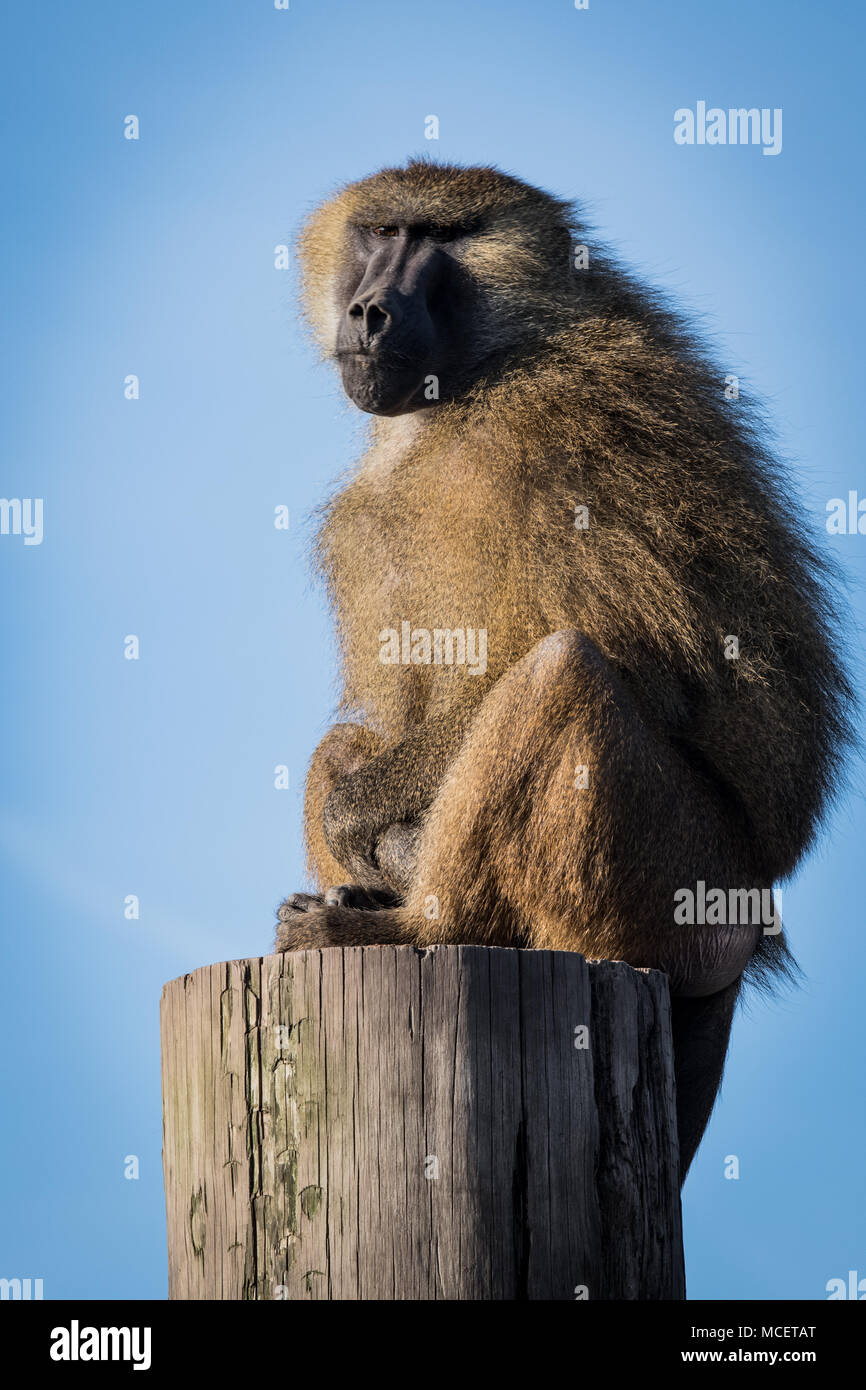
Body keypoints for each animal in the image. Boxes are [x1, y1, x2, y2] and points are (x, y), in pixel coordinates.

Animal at [275, 159, 852, 1181]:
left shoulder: (563, 418)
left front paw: (359, 829)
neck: (477, 379)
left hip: (680, 887)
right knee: (344, 743)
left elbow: (648, 657)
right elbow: (382, 724)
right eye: (380, 229)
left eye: (443, 239)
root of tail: (751, 935)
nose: (371, 311)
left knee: (563, 675)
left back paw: (412, 927)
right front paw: (363, 831)